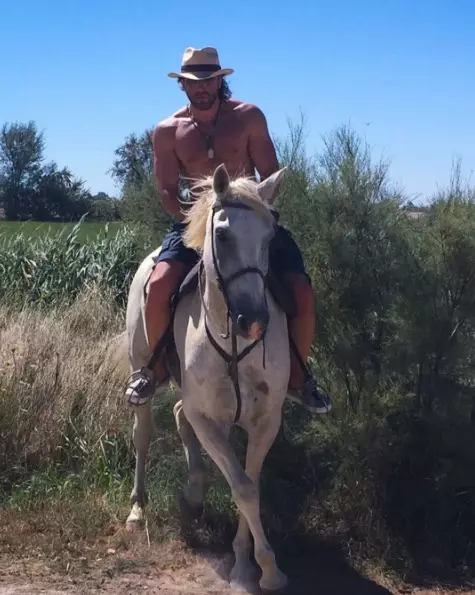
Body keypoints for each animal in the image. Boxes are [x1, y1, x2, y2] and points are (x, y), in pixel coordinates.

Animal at [125, 163, 290, 592]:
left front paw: (249, 563)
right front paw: (264, 569)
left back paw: (194, 493)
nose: (254, 320)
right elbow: (243, 487)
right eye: (222, 235)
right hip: (141, 368)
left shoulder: (266, 420)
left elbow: (250, 484)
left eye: (270, 237)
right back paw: (137, 509)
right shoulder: (208, 419)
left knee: (179, 415)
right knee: (143, 433)